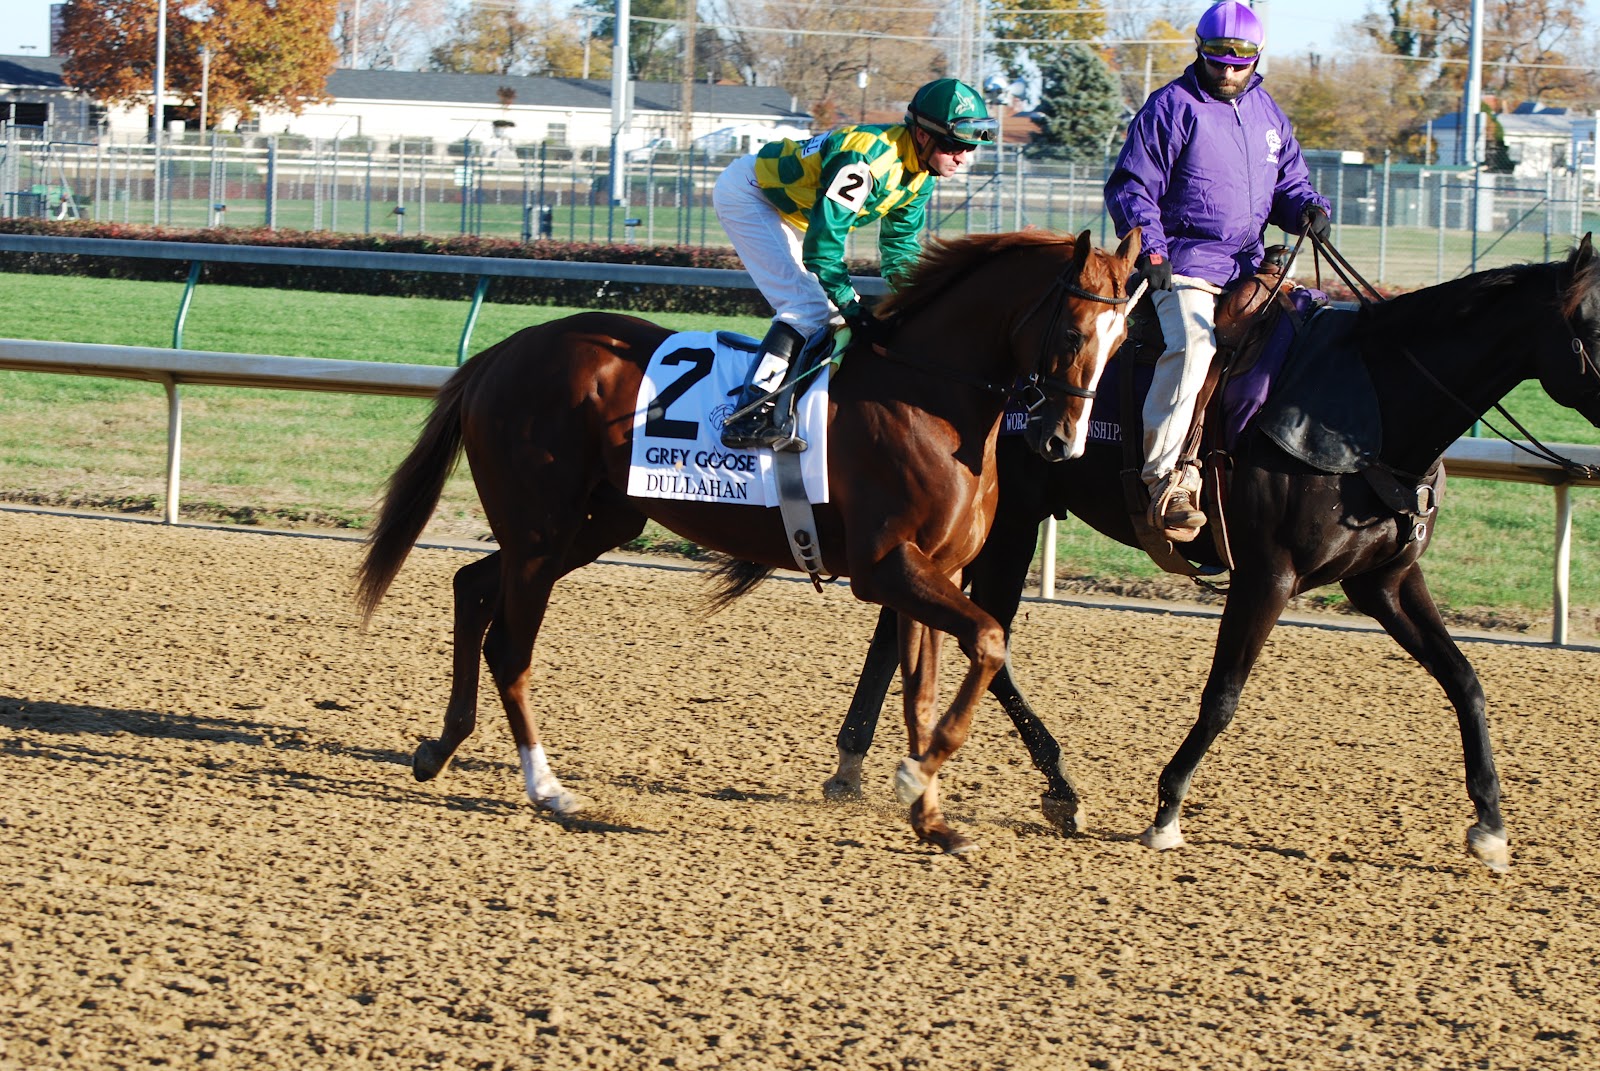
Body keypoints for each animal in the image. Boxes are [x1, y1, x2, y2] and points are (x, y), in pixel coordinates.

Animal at [356, 228, 1143, 854]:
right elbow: (988, 640)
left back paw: (440, 747)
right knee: (509, 648)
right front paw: (913, 778)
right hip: (541, 530)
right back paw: (546, 786)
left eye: (1123, 343)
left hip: (588, 525)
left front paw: (932, 818)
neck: (929, 399)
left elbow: (924, 693)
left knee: (471, 587)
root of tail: (498, 355)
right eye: (1072, 334)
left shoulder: (934, 571)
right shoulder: (886, 568)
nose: (1062, 442)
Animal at [825, 236, 1600, 871]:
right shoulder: (1268, 574)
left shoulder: (1385, 579)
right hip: (1010, 523)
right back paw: (1054, 783)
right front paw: (1167, 808)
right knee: (981, 636)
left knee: (907, 624)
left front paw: (1491, 824)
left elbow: (1465, 679)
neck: (1371, 410)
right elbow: (1224, 694)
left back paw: (856, 759)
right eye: (1592, 323)